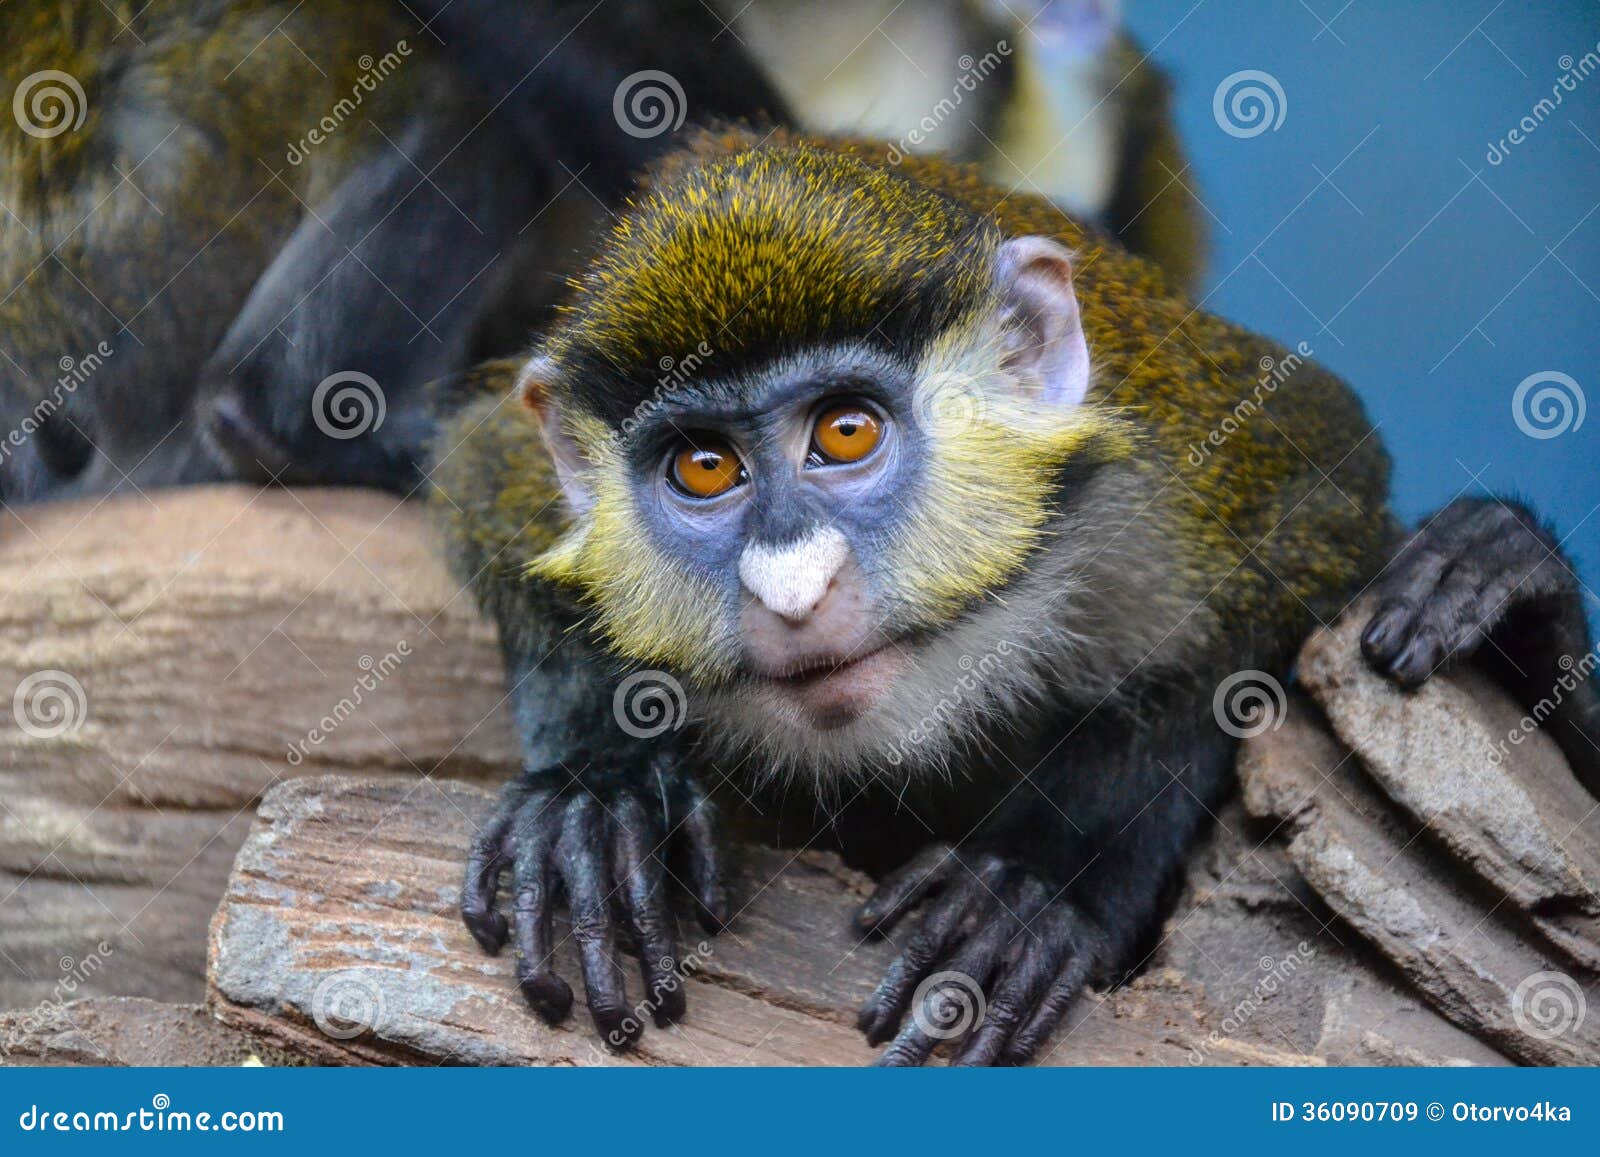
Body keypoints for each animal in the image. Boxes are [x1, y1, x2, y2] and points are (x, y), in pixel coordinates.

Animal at [433, 126, 1600, 1065]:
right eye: (704, 467)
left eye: (844, 431)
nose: (793, 590)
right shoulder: (518, 480)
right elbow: (485, 480)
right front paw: (602, 793)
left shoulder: (1211, 476)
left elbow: (1242, 627)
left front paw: (1041, 889)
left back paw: (1505, 583)